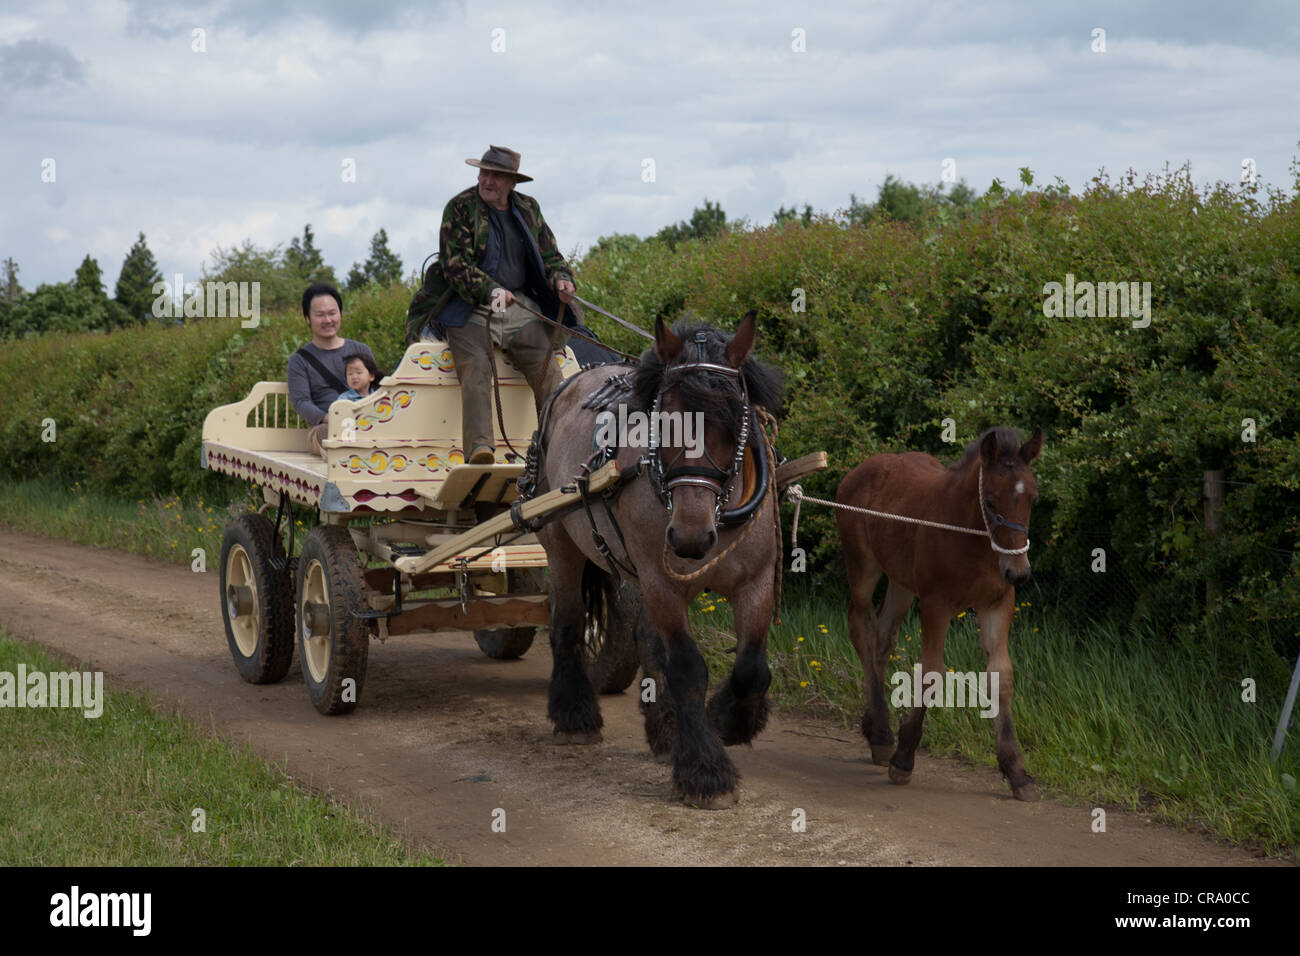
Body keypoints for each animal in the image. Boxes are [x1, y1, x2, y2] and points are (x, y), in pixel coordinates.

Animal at [530, 311, 783, 808]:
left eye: (736, 419)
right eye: (662, 421)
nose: (689, 536)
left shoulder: (756, 580)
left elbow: (751, 668)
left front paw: (726, 721)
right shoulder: (661, 582)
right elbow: (686, 667)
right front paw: (705, 770)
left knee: (647, 642)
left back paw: (666, 729)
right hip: (564, 543)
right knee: (566, 623)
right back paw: (574, 714)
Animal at [835, 426, 1043, 801]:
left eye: (1032, 499)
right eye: (990, 501)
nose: (1018, 573)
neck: (973, 540)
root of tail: (860, 469)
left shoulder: (997, 604)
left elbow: (1000, 676)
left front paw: (1017, 772)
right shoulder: (936, 603)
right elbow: (930, 673)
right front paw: (904, 758)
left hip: (901, 582)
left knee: (883, 637)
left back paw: (876, 729)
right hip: (862, 567)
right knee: (862, 629)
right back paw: (883, 736)